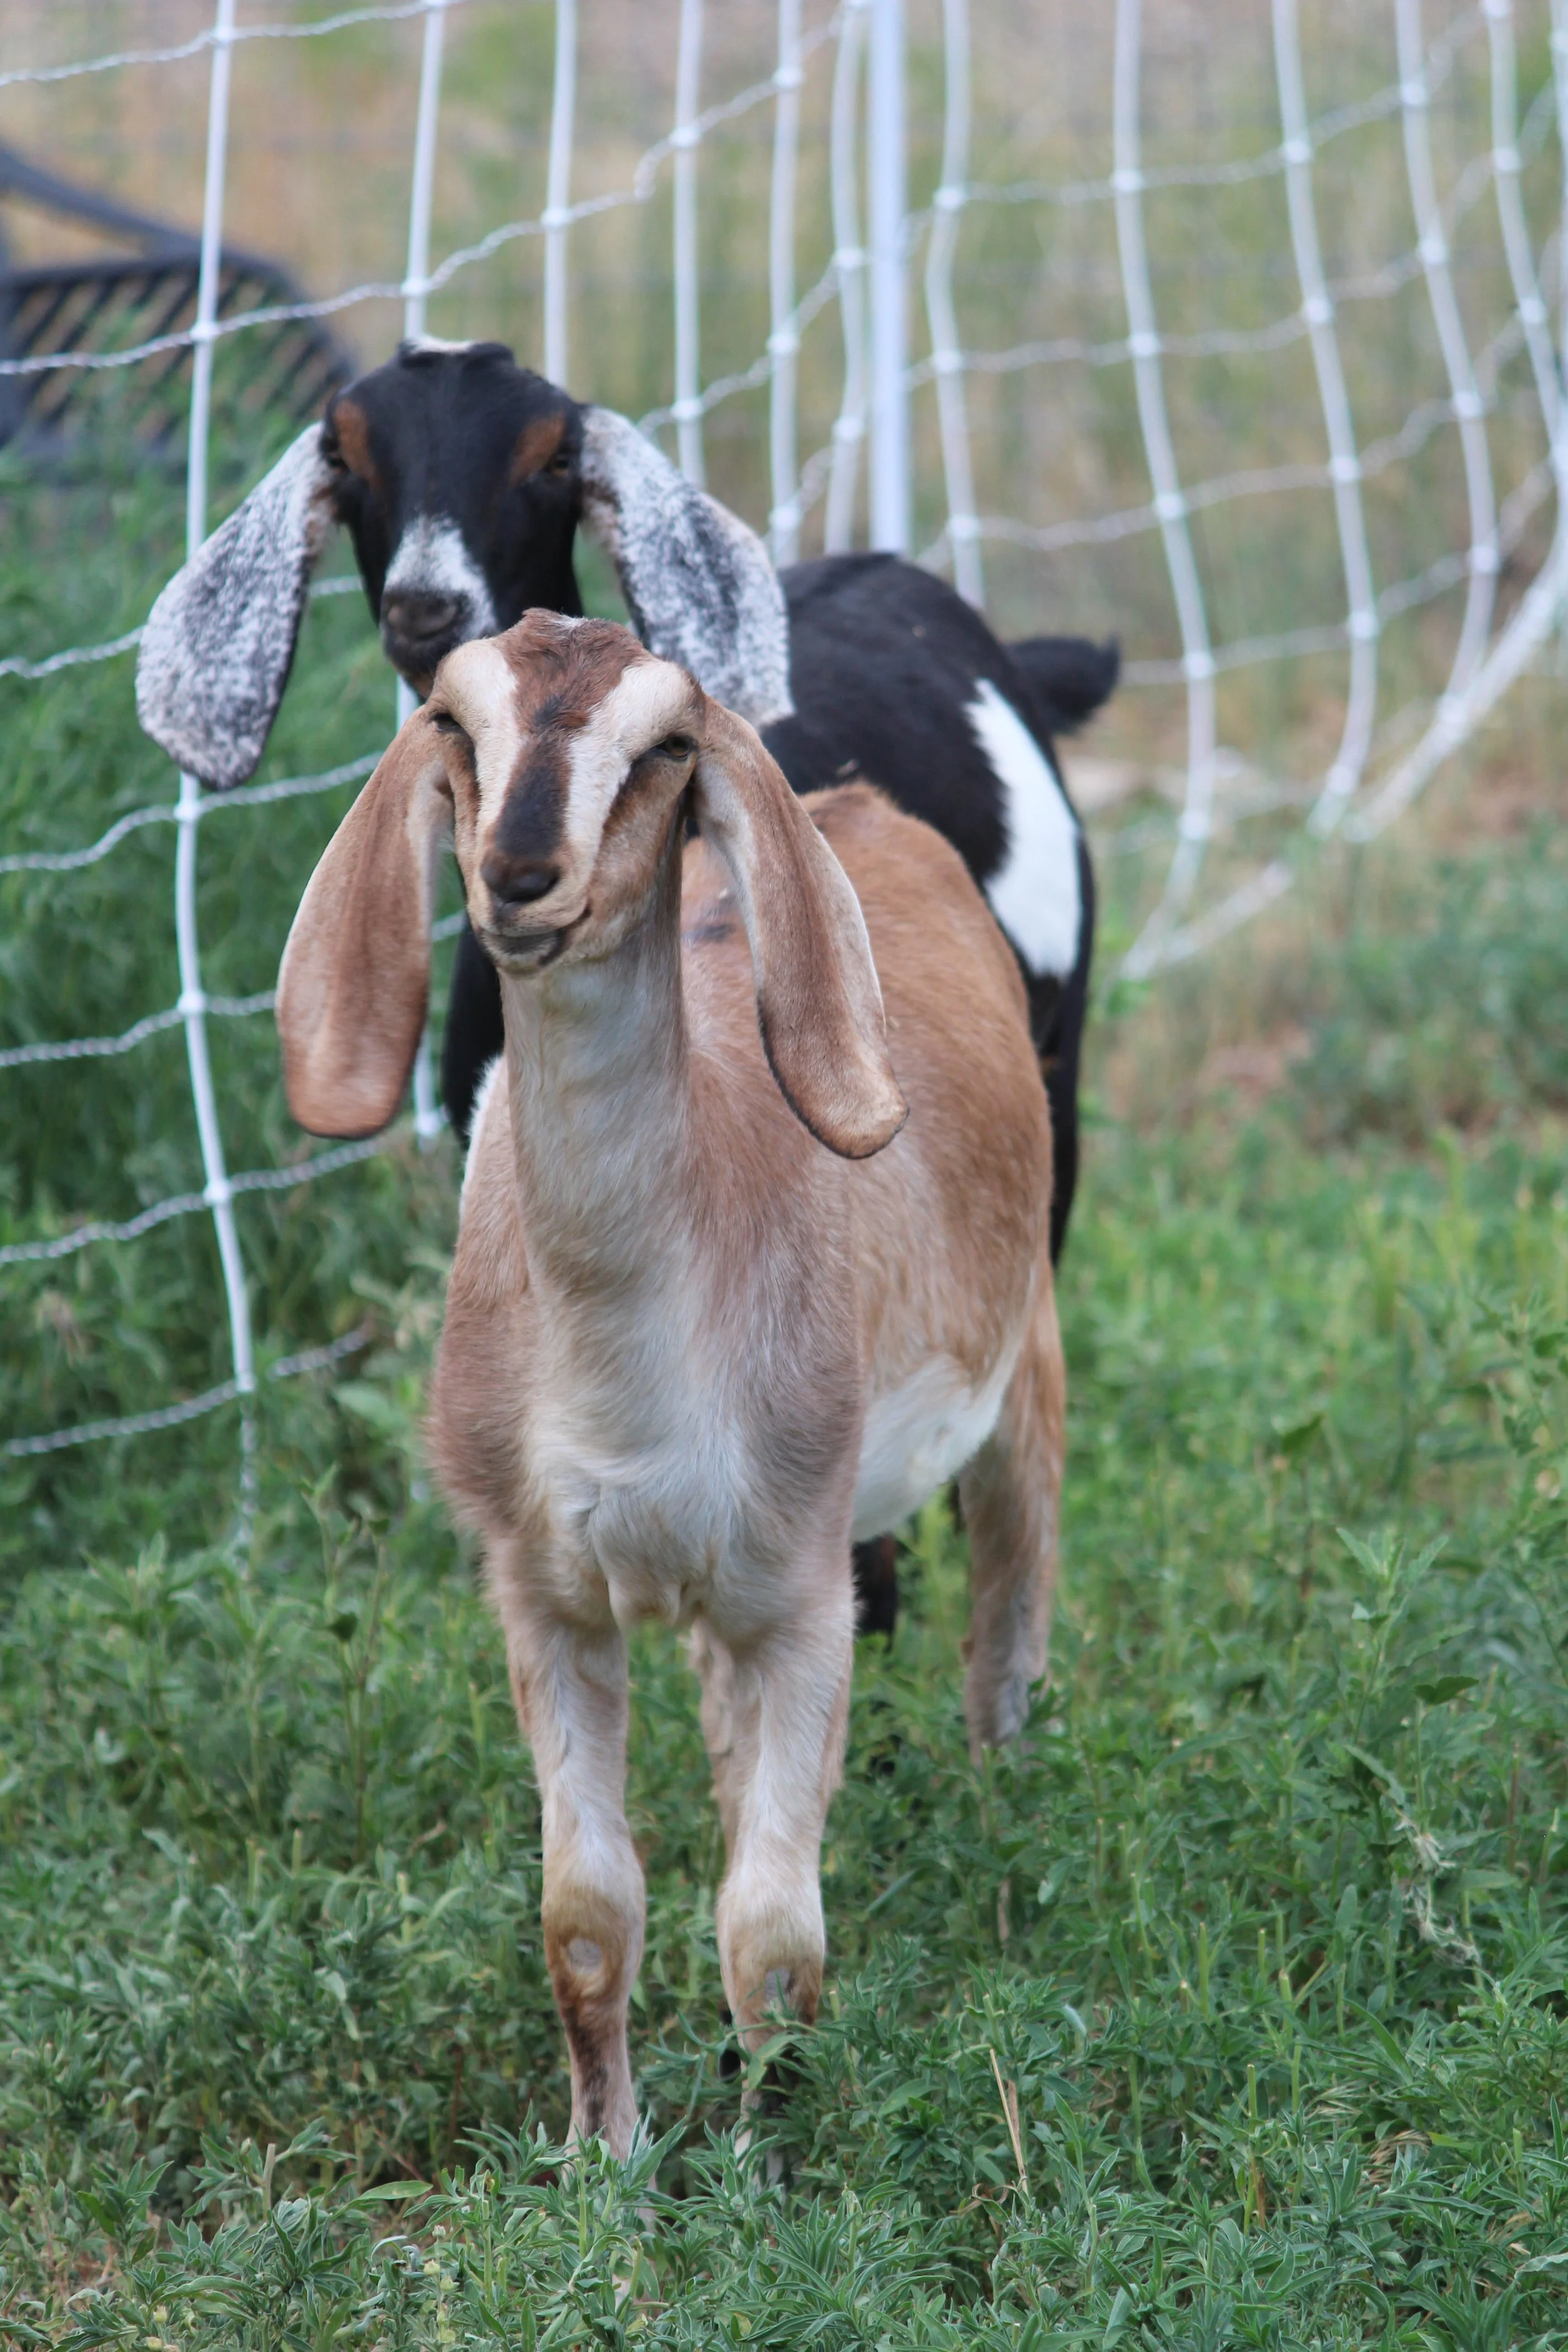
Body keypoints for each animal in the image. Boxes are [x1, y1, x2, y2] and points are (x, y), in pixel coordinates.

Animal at [275, 612, 1064, 2155]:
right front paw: (608, 2157)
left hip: (1024, 1373)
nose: (521, 874)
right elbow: (587, 1914)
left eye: (665, 747)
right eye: (456, 723)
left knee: (1007, 1627)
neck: (628, 1378)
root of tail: (867, 810)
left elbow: (774, 1938)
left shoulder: (807, 1590)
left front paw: (774, 2161)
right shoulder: (546, 1596)